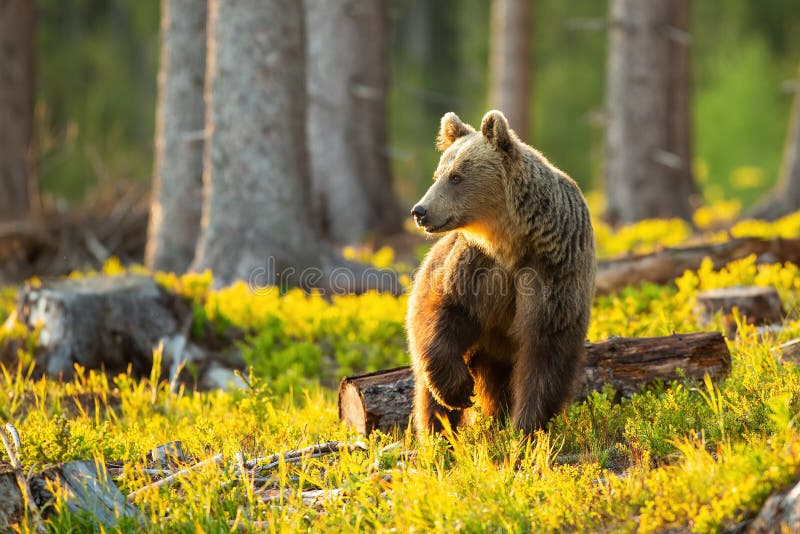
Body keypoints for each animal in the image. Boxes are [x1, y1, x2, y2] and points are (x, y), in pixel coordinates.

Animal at [406, 109, 596, 437]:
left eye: (456, 176)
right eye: (437, 174)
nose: (420, 211)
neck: (509, 241)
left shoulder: (554, 269)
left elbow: (544, 352)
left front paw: (526, 427)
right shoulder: (475, 266)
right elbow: (444, 311)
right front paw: (458, 390)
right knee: (429, 395)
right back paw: (439, 435)